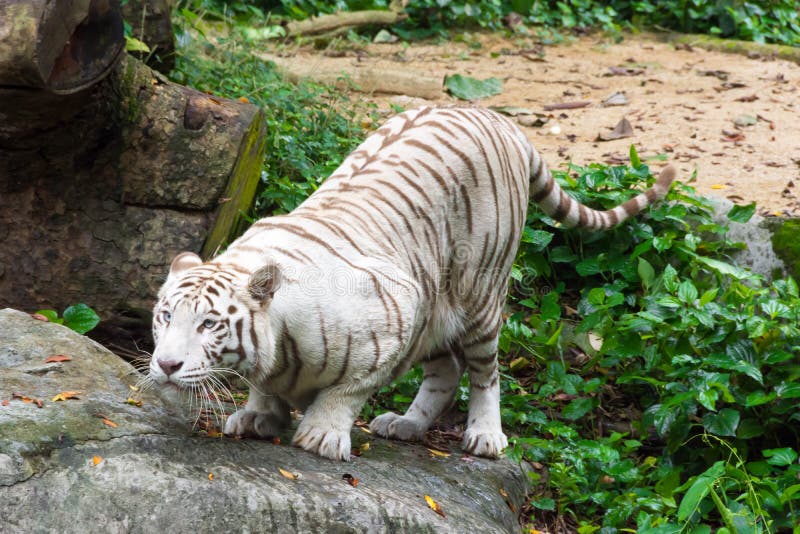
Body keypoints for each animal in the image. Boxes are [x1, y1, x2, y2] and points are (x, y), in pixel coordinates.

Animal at [149, 106, 675, 461]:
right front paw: (260, 414)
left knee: (485, 373)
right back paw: (406, 424)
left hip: (480, 295)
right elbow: (265, 386)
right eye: (166, 316)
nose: (167, 365)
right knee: (448, 371)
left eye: (210, 324)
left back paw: (485, 436)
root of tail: (499, 118)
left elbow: (347, 391)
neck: (277, 343)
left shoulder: (392, 318)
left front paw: (321, 434)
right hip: (433, 314)